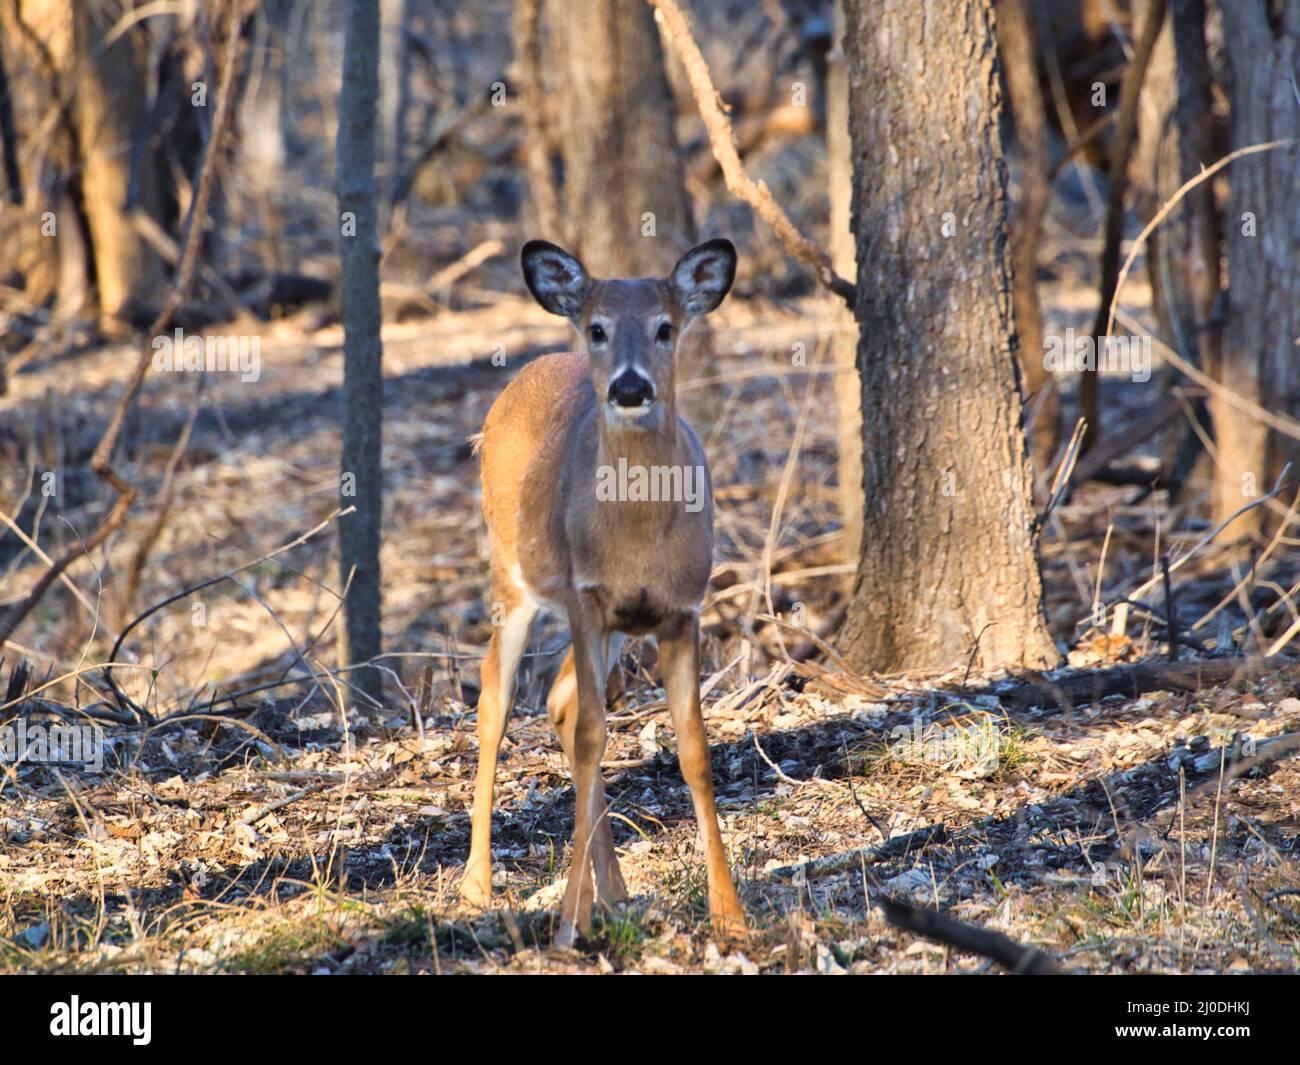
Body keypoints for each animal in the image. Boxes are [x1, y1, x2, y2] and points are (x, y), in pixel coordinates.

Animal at [462, 237, 746, 947]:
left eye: (666, 327)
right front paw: (568, 924)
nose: (629, 386)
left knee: (560, 700)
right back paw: (478, 885)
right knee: (496, 698)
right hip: (514, 575)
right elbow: (593, 736)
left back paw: (613, 890)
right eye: (598, 329)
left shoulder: (681, 608)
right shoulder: (585, 598)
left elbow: (694, 751)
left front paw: (729, 915)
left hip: (610, 624)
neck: (639, 533)